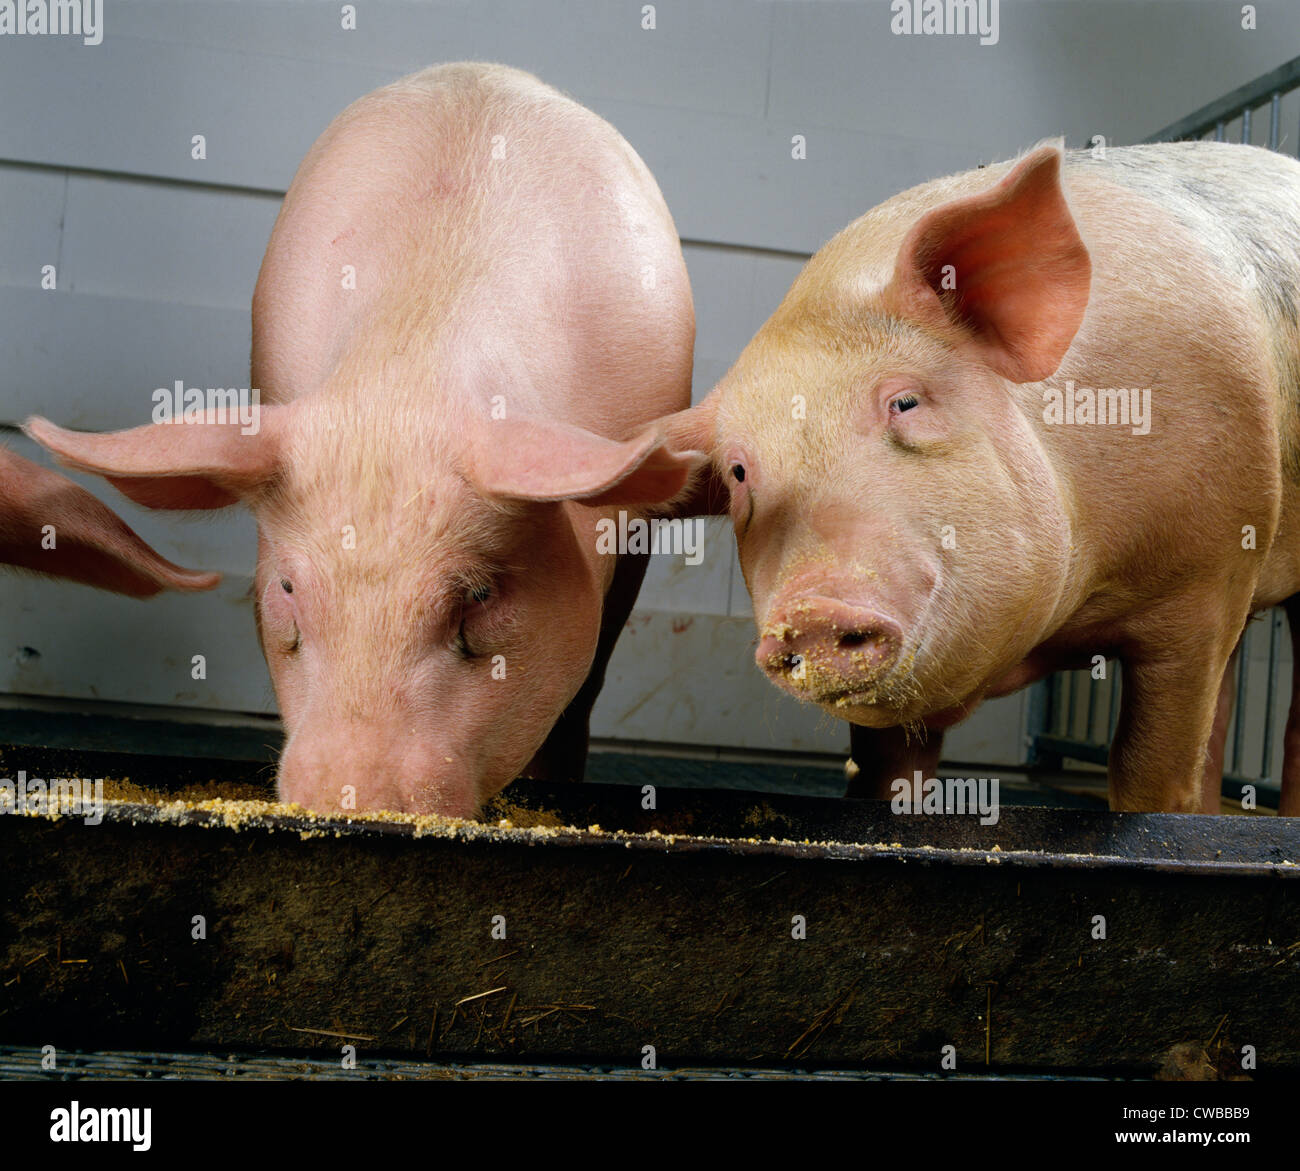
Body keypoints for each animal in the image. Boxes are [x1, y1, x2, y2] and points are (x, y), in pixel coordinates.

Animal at [660, 139, 1300, 815]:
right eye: (738, 472)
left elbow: (1151, 770)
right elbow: (891, 773)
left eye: (906, 402)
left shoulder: (1205, 579)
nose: (812, 610)